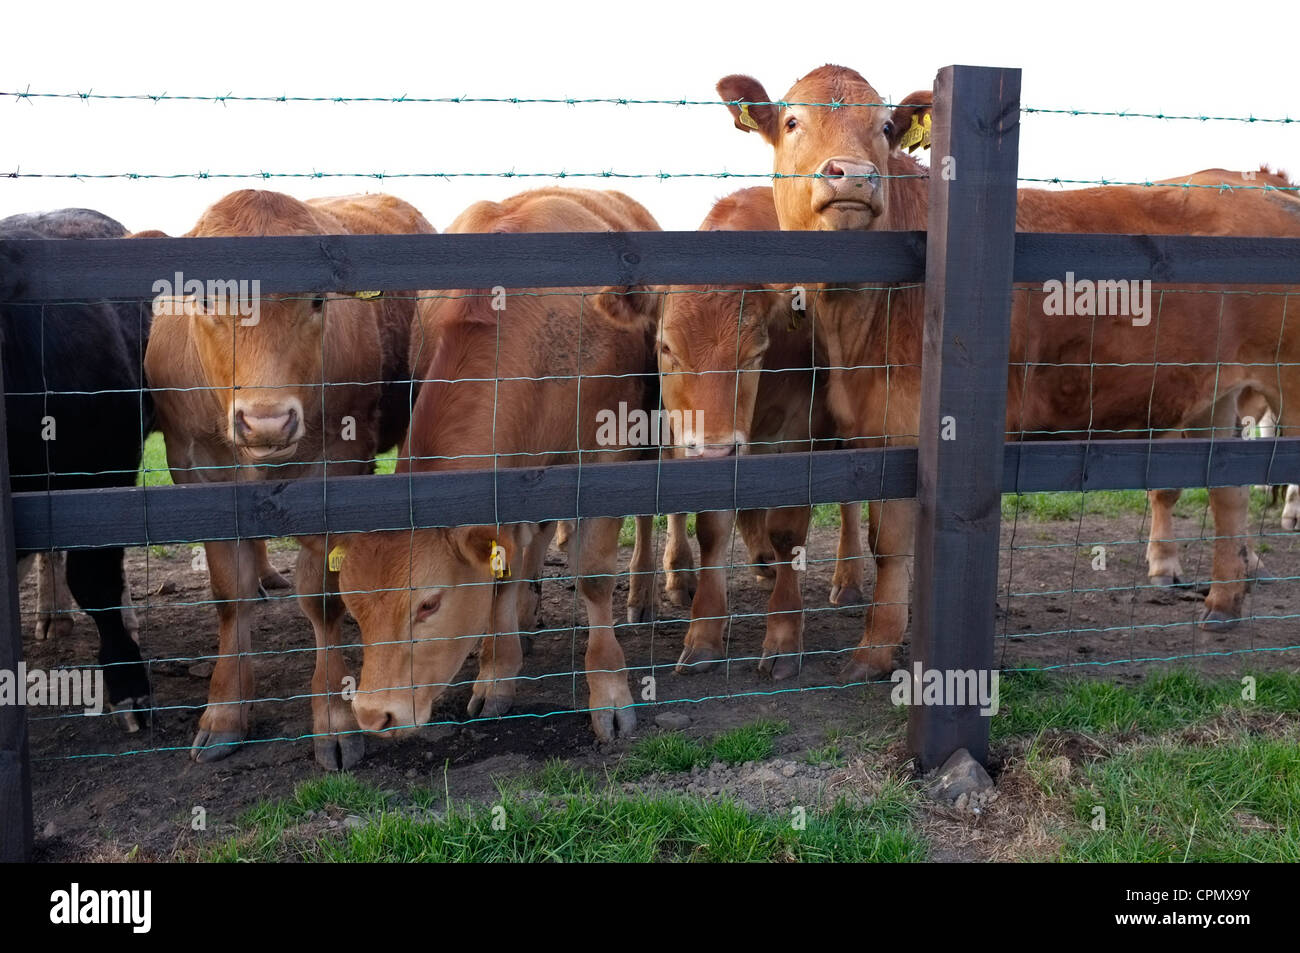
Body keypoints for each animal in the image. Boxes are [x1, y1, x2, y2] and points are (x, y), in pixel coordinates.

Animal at [144, 189, 432, 769]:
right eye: (205, 303)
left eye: (318, 301)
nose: (267, 421)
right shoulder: (197, 473)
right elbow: (228, 595)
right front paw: (225, 711)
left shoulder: (338, 466)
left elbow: (323, 597)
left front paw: (335, 719)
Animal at [340, 187, 660, 742]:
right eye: (353, 607)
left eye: (429, 603)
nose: (375, 716)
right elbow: (501, 577)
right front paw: (496, 673)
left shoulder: (608, 451)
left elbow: (594, 576)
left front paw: (609, 690)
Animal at [653, 186, 863, 677]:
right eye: (667, 347)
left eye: (754, 353)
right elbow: (712, 527)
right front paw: (703, 636)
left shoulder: (803, 430)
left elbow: (788, 529)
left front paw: (784, 637)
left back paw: (847, 580)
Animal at [715, 65, 1300, 681]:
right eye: (793, 121)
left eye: (885, 128)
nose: (852, 175)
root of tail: (1267, 186)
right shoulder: (871, 428)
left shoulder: (918, 429)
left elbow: (892, 544)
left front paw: (875, 650)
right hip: (1217, 393)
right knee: (1228, 489)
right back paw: (1223, 605)